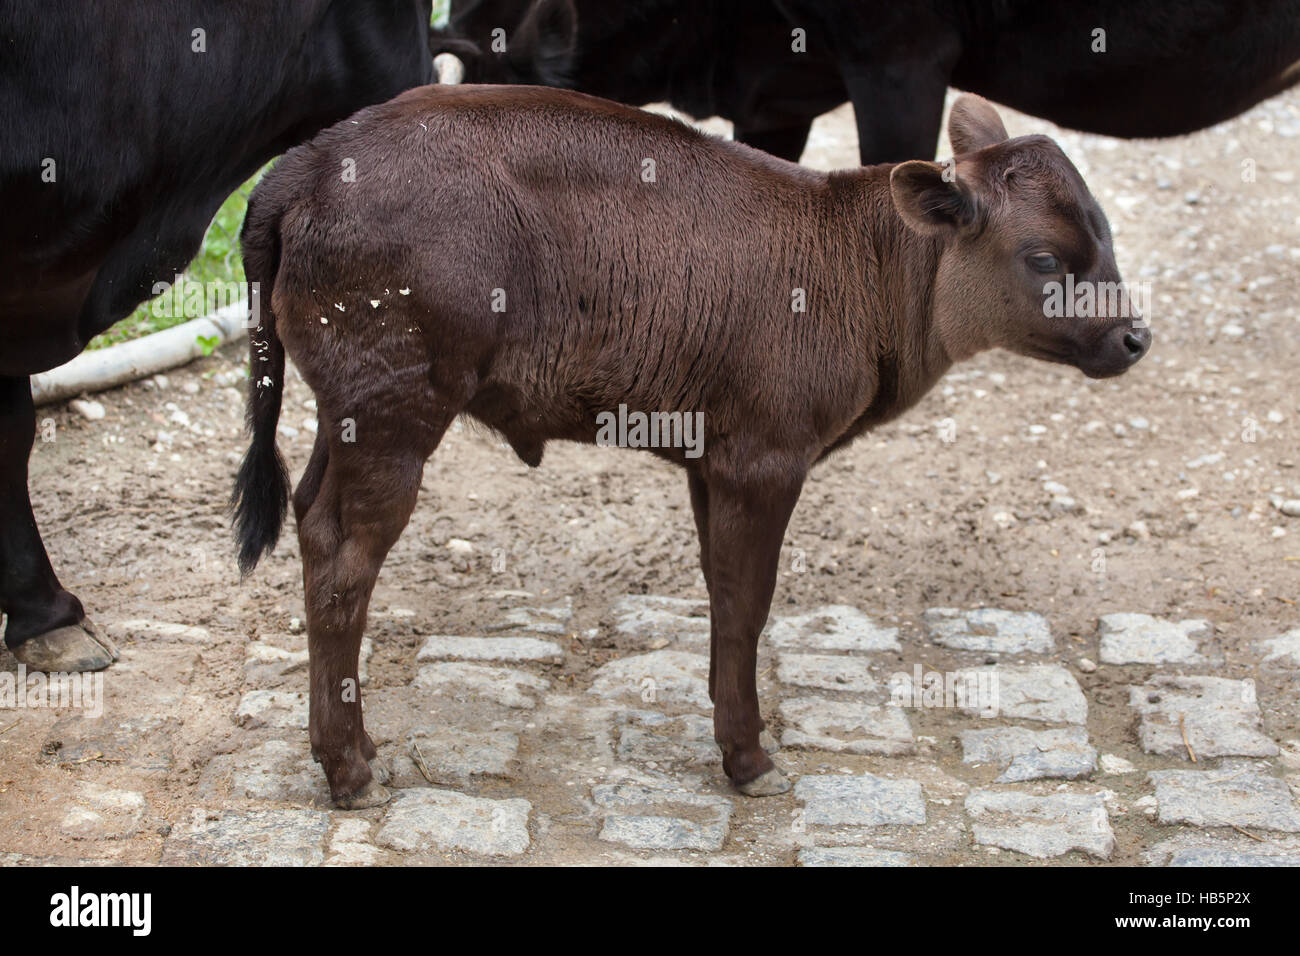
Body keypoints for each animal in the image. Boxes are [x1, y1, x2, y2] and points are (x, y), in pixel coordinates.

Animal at [231, 88, 1150, 808]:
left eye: (1106, 231)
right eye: (1044, 258)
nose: (1133, 336)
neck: (860, 265)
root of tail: (305, 164)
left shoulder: (713, 457)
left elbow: (717, 587)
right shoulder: (766, 455)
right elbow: (748, 600)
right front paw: (748, 758)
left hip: (348, 415)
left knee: (310, 520)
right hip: (396, 406)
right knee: (344, 561)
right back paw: (347, 768)